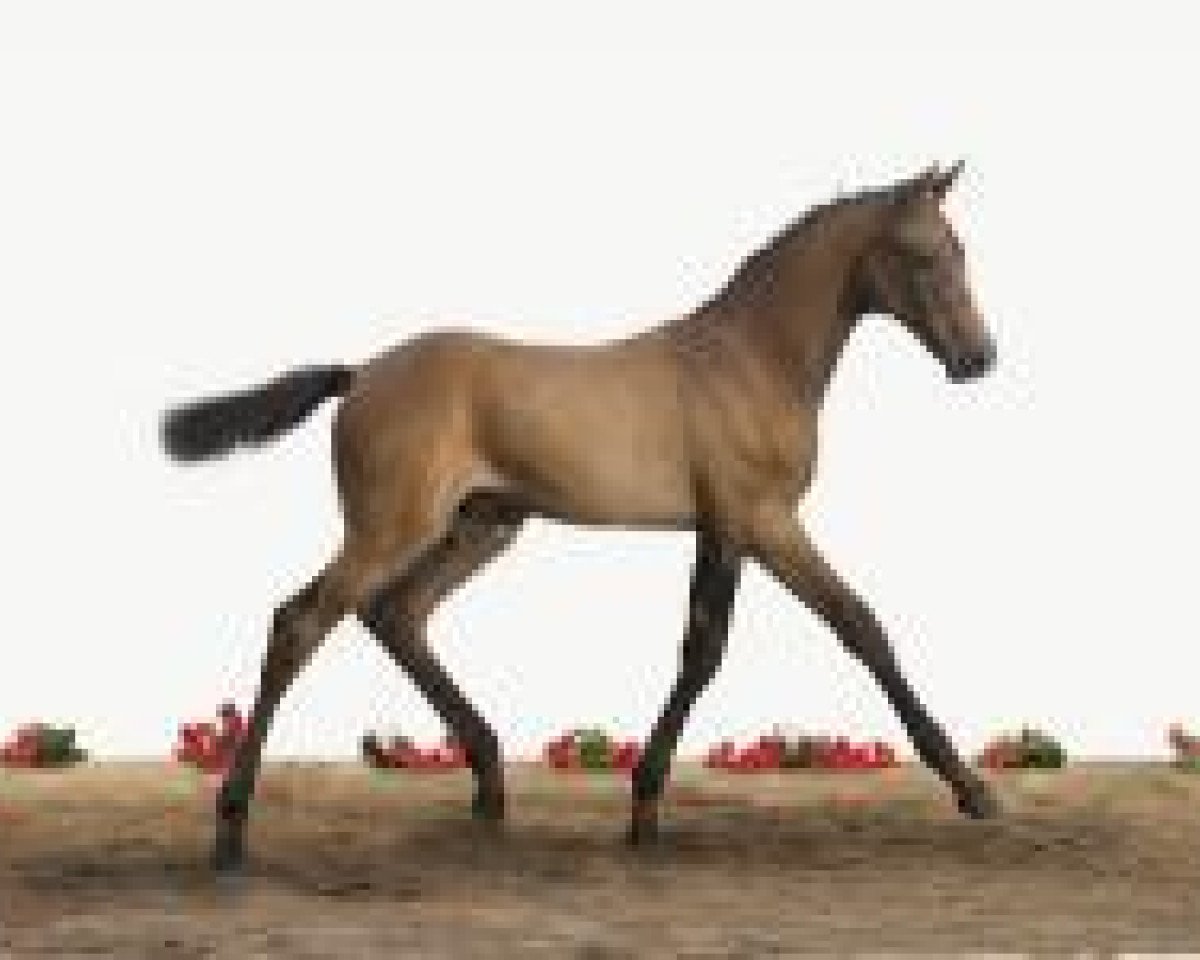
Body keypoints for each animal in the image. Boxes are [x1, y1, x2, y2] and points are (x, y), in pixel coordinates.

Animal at [162, 162, 999, 871]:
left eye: (962, 249)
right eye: (922, 255)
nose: (979, 358)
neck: (746, 361)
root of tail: (361, 373)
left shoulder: (730, 528)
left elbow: (772, 639)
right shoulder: (754, 519)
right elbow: (787, 635)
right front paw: (972, 790)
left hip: (480, 526)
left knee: (397, 614)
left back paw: (490, 786)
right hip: (392, 527)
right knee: (300, 624)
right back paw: (231, 830)